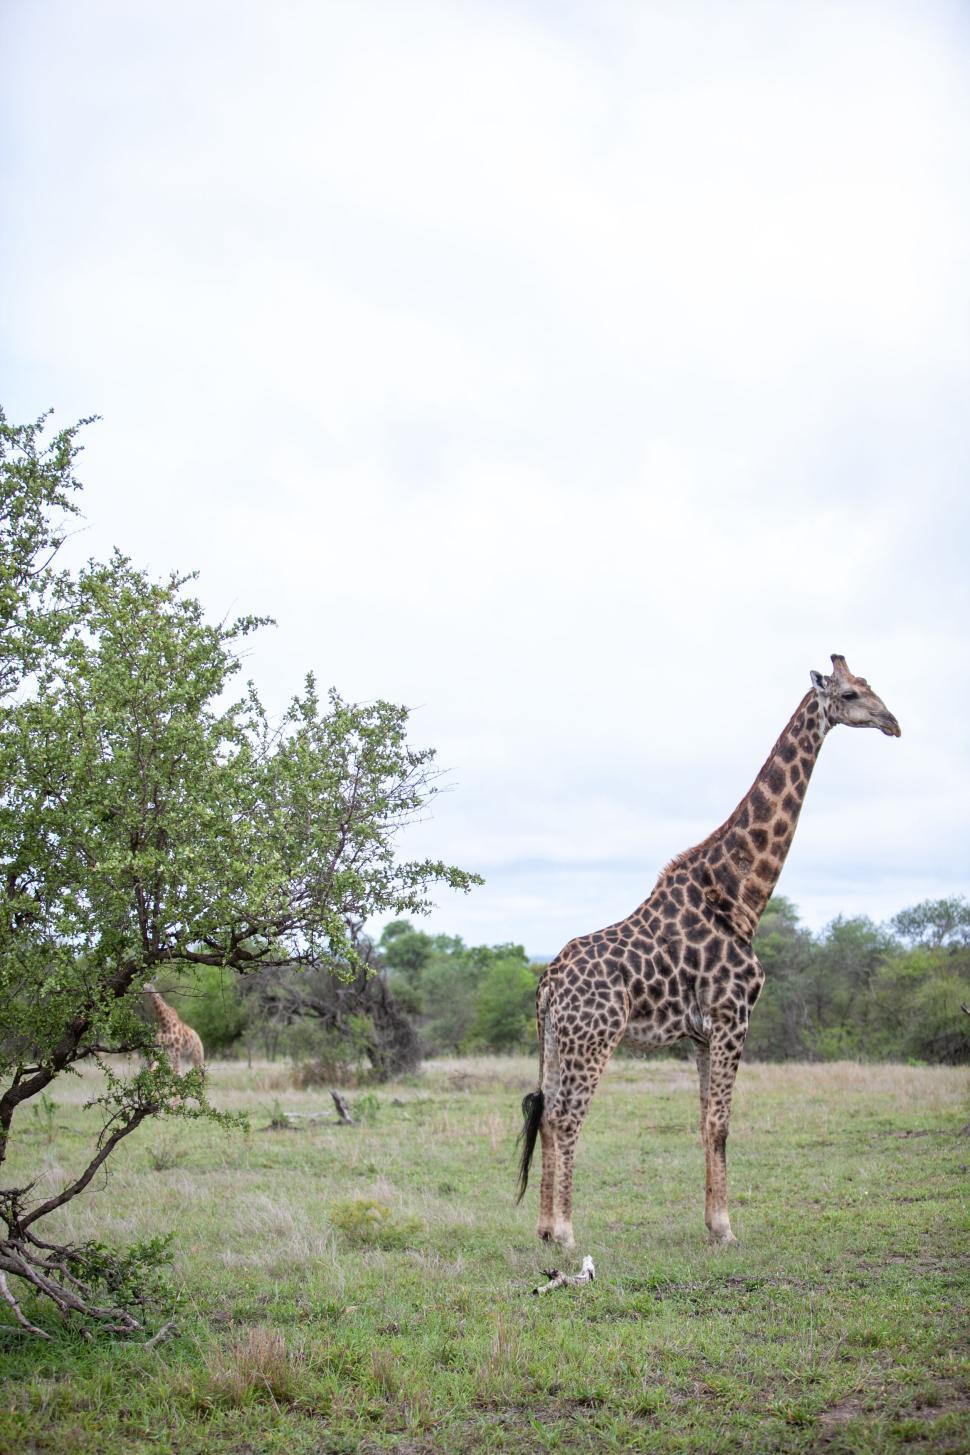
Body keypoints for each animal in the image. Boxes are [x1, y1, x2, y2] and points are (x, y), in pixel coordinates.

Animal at [516, 655, 900, 1251]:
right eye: (853, 694)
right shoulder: (733, 1014)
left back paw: (543, 1229)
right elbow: (721, 1123)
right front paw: (725, 1228)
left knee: (548, 1113)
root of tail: (547, 983)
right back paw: (567, 1233)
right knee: (566, 1118)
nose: (892, 723)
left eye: (870, 685)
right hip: (594, 1038)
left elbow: (703, 1123)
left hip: (557, 1041)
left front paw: (710, 1222)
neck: (741, 895)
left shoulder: (702, 1032)